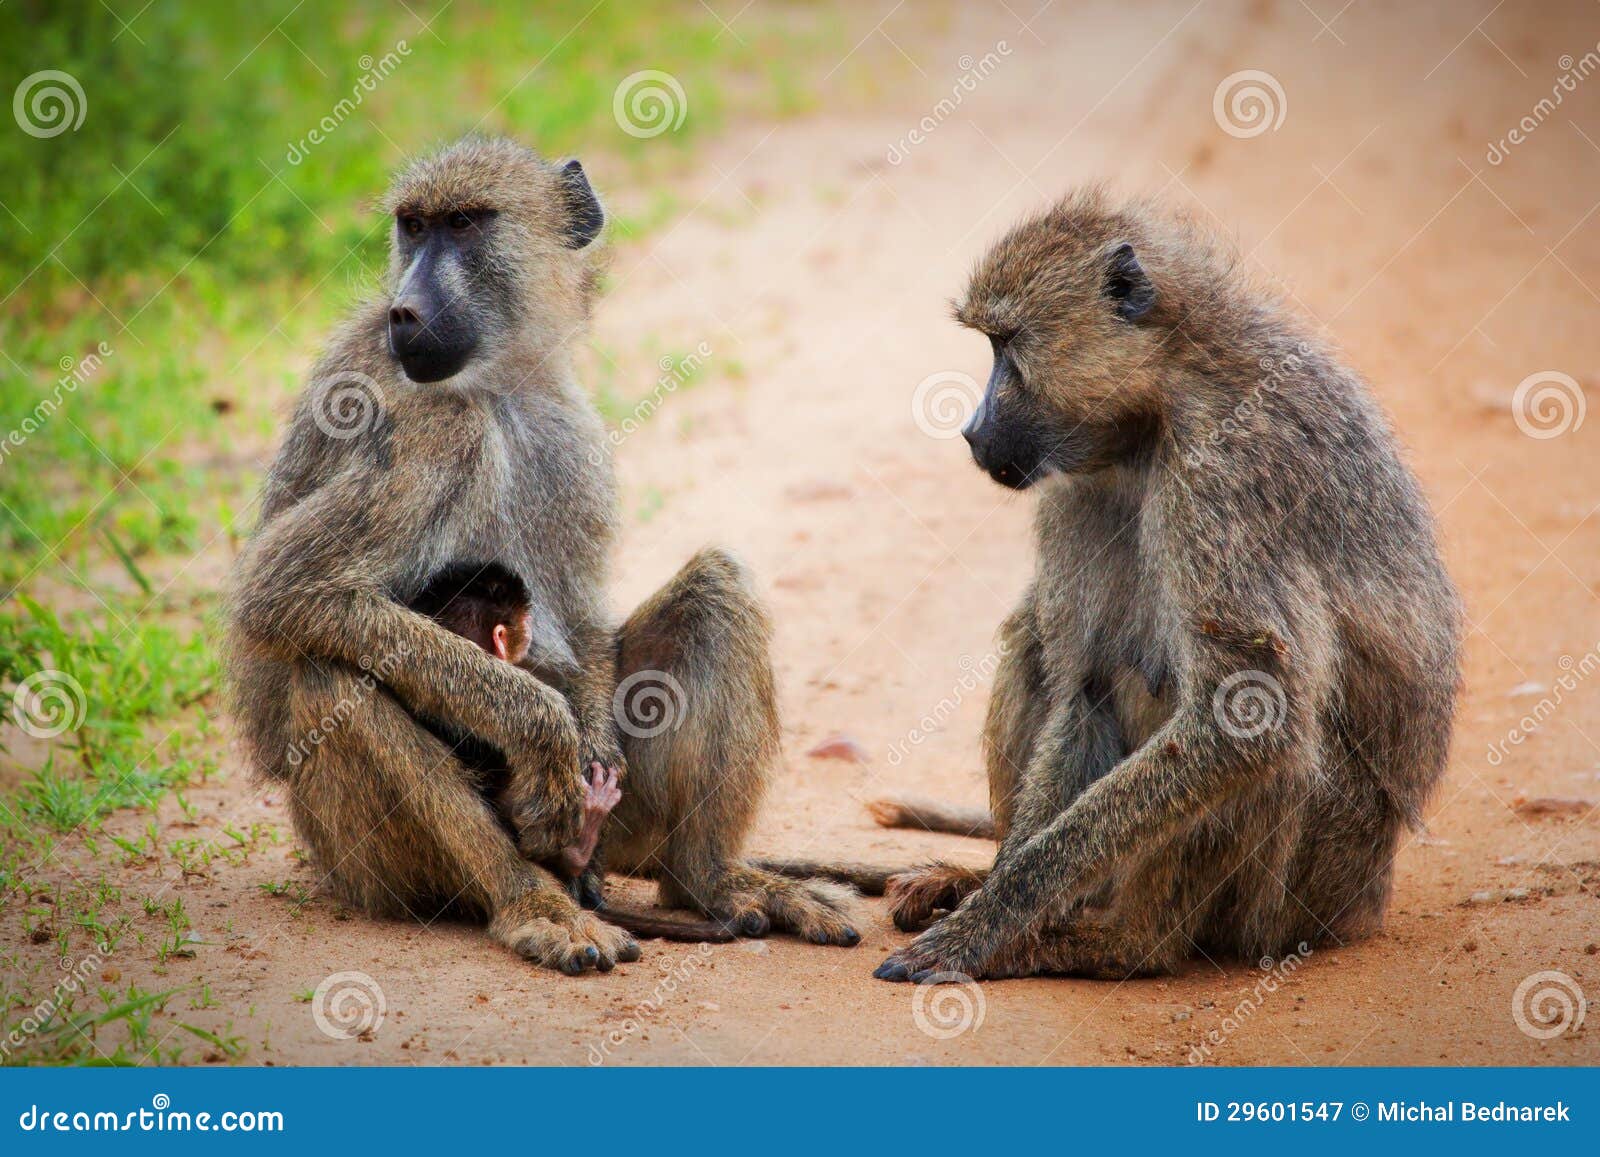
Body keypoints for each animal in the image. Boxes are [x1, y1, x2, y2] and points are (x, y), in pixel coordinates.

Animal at [867, 187, 1461, 983]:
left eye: (1006, 345)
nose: (971, 431)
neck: (1163, 398)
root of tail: (1370, 899)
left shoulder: (1225, 470)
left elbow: (1249, 712)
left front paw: (986, 926)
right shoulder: (1079, 485)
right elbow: (1084, 688)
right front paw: (993, 896)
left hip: (1310, 883)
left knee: (1269, 724)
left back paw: (1120, 943)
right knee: (1039, 638)